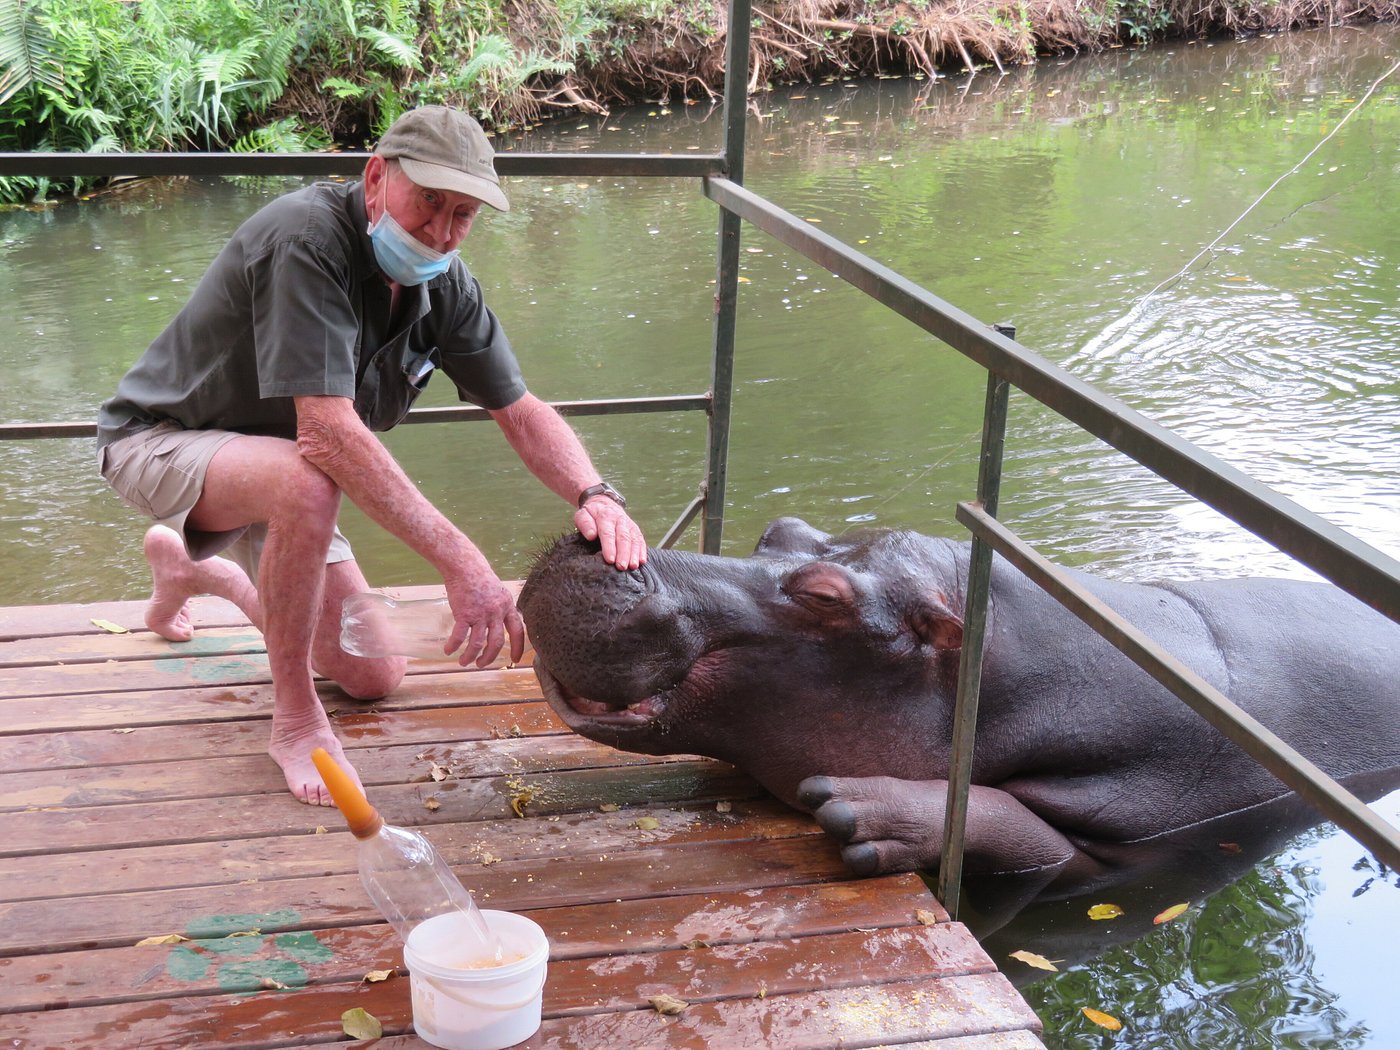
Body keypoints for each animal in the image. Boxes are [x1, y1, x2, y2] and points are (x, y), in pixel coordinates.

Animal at [517, 518, 1400, 918]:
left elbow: (1034, 839)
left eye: (824, 597)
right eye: (781, 532)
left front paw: (857, 812)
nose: (593, 540)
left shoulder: (1157, 829)